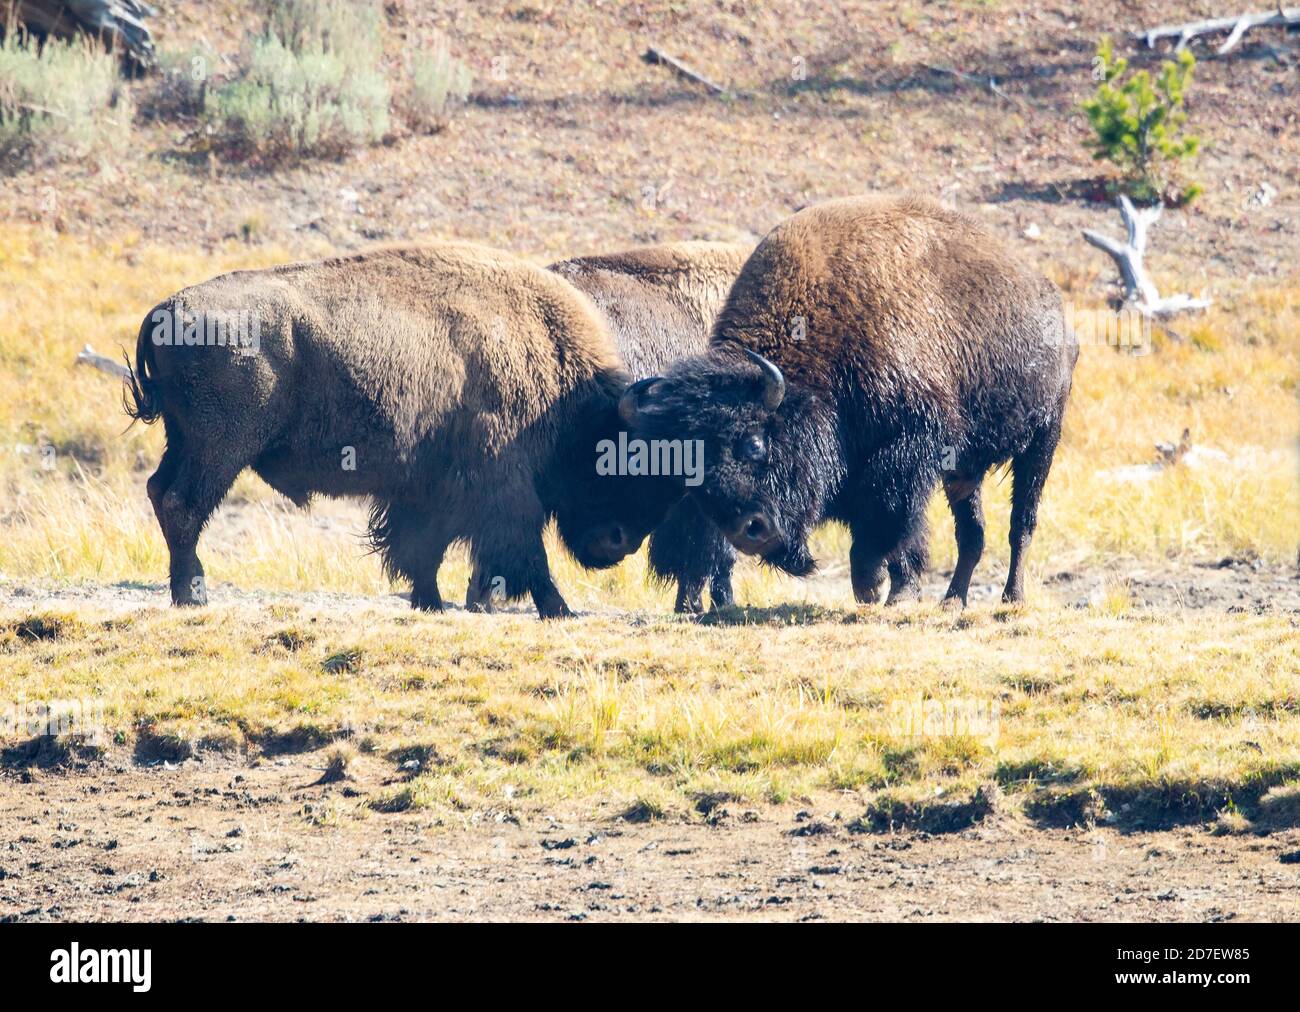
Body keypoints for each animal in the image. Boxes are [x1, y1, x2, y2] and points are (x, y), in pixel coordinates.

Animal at [124, 242, 683, 618]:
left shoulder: (427, 487)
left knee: (160, 492)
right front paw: (559, 608)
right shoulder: (500, 487)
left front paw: (429, 603)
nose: (617, 544)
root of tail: (165, 310)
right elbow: (523, 552)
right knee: (182, 503)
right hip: (220, 449)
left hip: (186, 441)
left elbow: (420, 548)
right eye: (615, 458)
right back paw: (193, 595)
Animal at [618, 195, 1078, 608]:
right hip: (965, 469)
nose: (750, 531)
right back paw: (952, 601)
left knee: (1021, 523)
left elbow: (887, 516)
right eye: (690, 467)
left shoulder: (911, 446)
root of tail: (1055, 307)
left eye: (755, 442)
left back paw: (1011, 597)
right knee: (973, 532)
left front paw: (873, 587)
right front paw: (892, 592)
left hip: (1043, 438)